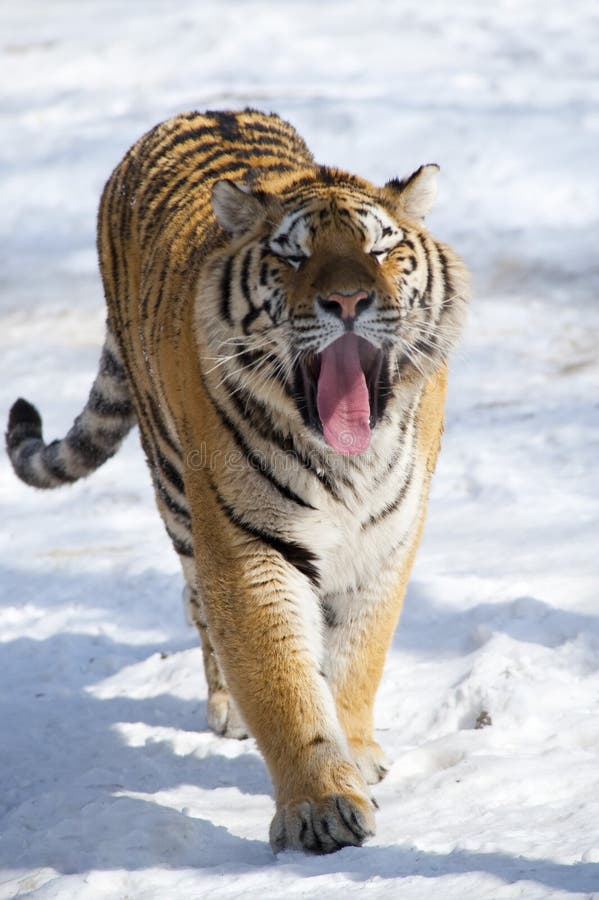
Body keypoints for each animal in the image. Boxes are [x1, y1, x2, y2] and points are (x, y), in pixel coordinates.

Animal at [6, 109, 469, 855]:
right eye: (293, 256)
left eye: (380, 249)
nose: (349, 300)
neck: (346, 464)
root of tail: (193, 112)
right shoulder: (248, 543)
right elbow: (279, 677)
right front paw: (321, 807)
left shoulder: (384, 540)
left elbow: (358, 655)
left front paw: (355, 751)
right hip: (176, 490)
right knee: (198, 605)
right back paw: (228, 707)